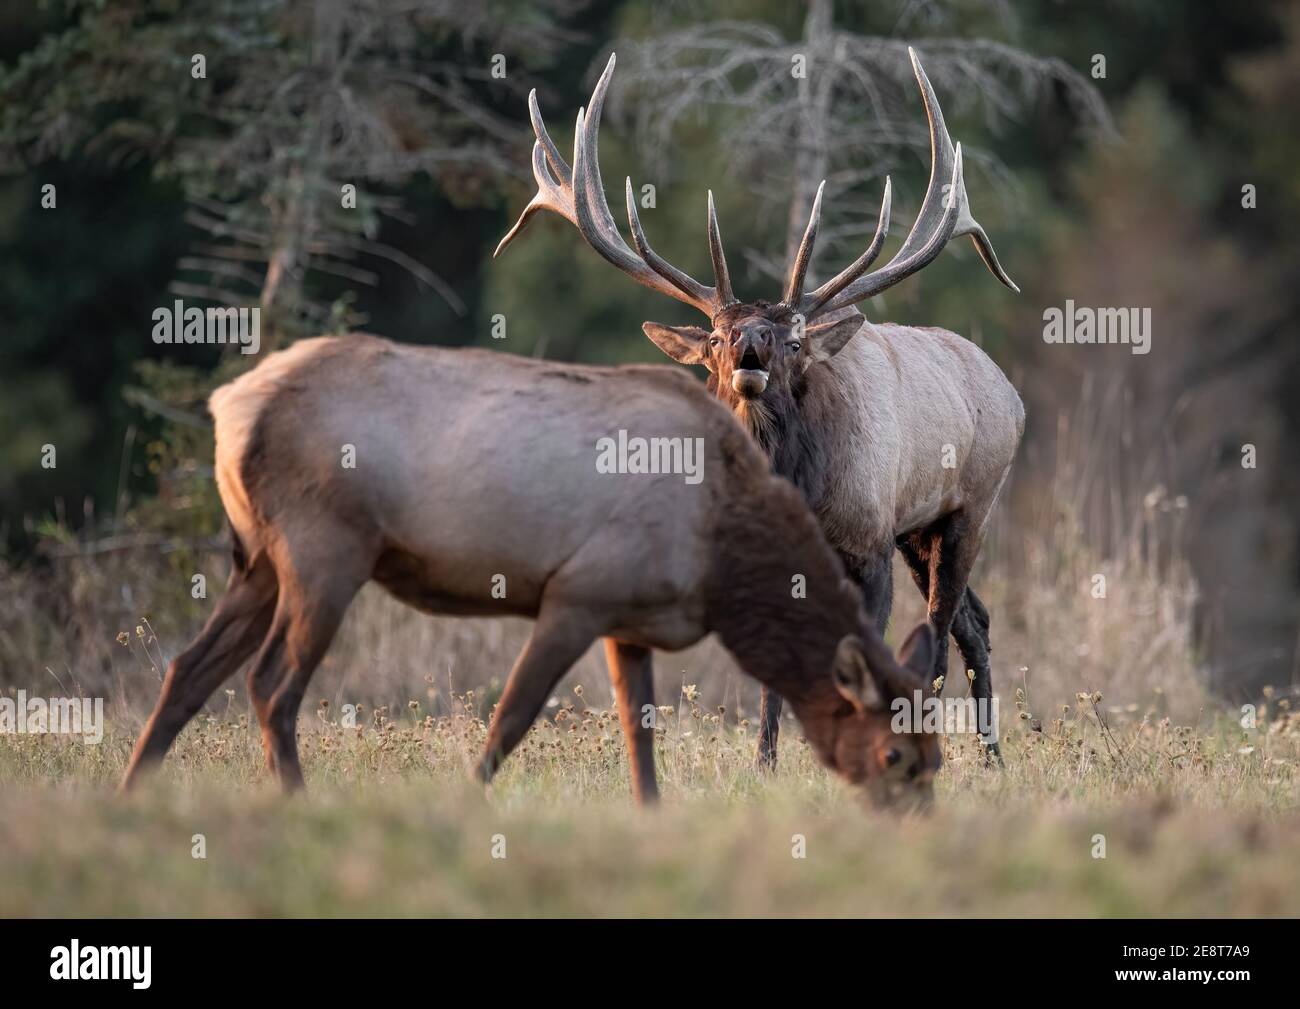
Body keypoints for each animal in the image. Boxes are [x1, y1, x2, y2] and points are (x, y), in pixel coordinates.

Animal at [118, 334, 942, 808]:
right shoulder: (579, 591)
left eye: (939, 756)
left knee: (187, 670)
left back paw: (131, 795)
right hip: (324, 548)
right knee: (270, 684)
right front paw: (466, 805)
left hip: (257, 561)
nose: (917, 821)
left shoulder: (629, 617)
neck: (720, 560)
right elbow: (512, 714)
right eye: (894, 753)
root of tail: (228, 407)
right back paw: (295, 803)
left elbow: (640, 735)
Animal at [495, 49, 1024, 768]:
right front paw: (765, 761)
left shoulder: (868, 541)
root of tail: (1010, 391)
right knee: (976, 620)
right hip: (920, 528)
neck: (803, 488)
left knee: (942, 632)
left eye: (793, 339)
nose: (750, 347)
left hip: (969, 506)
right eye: (717, 337)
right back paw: (993, 758)